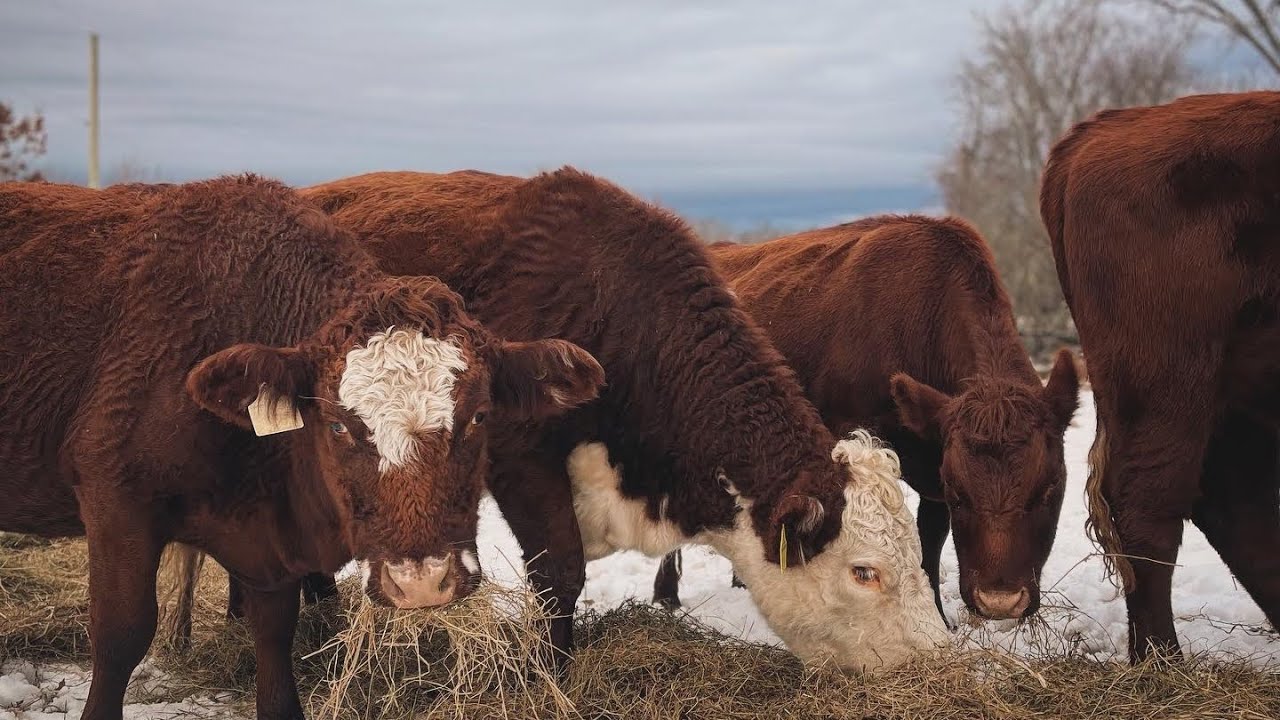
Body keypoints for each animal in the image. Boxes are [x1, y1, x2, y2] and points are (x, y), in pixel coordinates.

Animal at [0, 175, 602, 720]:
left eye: (478, 416)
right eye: (336, 425)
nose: (421, 583)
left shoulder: (266, 548)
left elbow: (274, 638)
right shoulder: (115, 500)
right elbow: (121, 633)